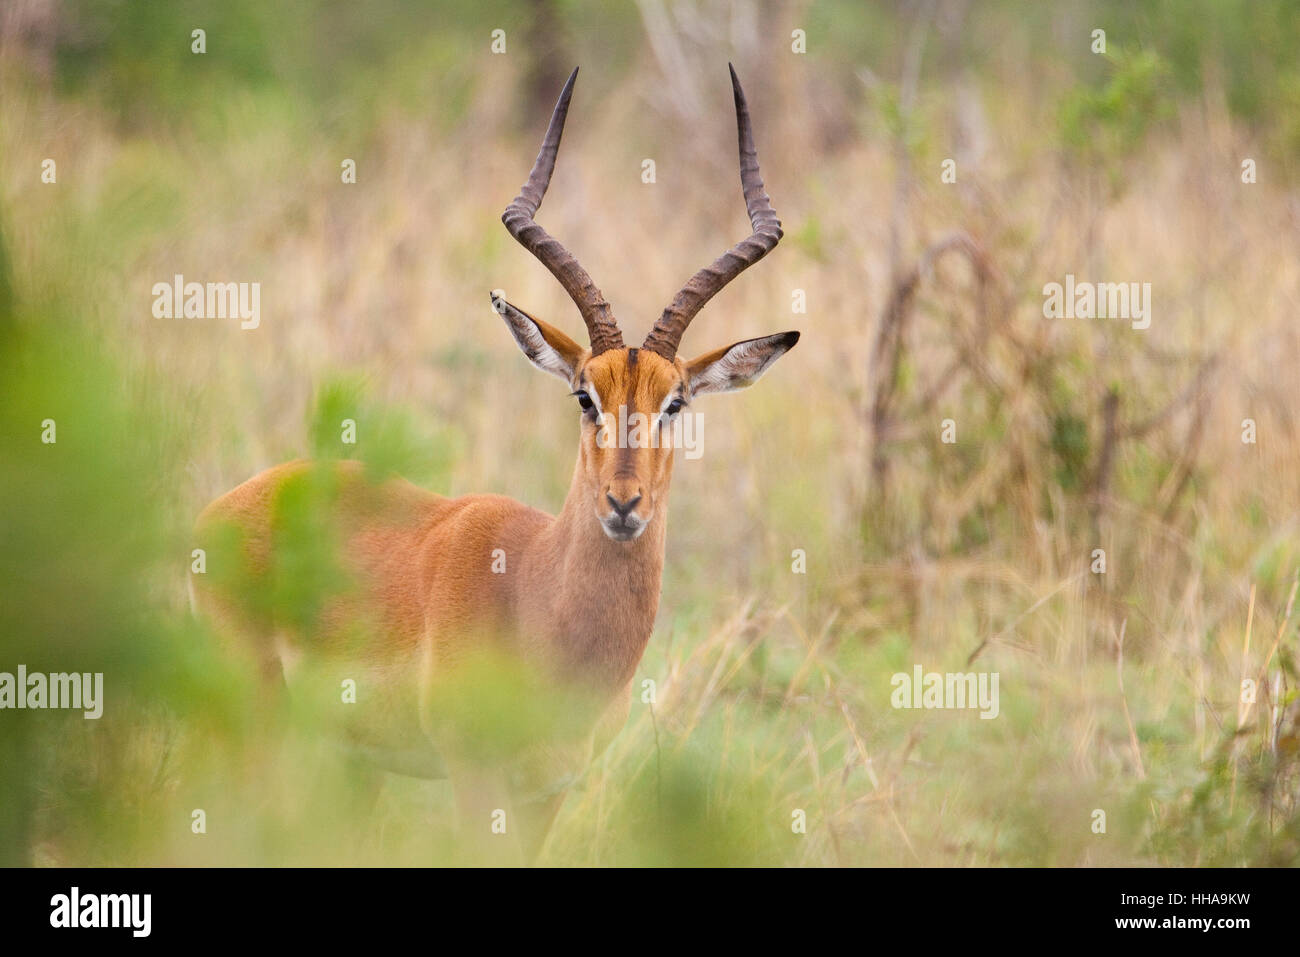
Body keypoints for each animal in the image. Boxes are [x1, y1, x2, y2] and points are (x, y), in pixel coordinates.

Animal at [193, 64, 798, 862]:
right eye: (583, 395)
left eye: (676, 403)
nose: (624, 503)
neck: (538, 599)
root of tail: (225, 508)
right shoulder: (474, 777)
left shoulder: (549, 791)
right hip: (252, 720)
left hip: (352, 761)